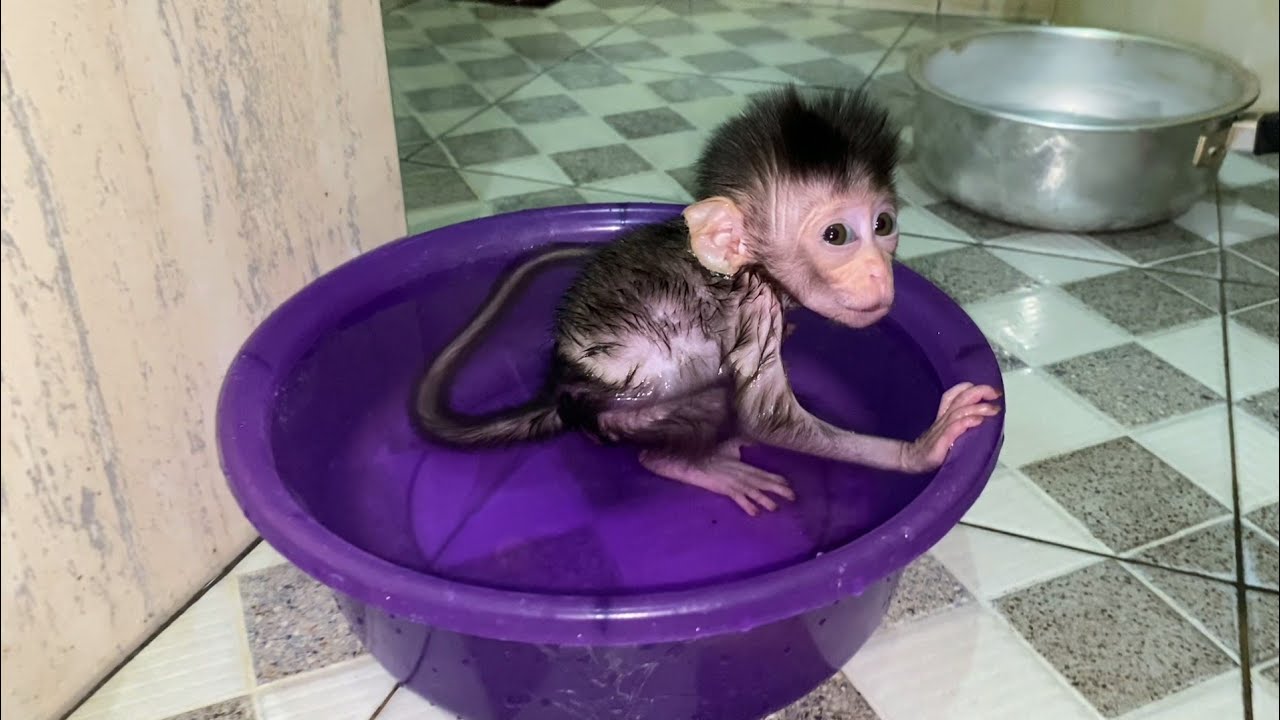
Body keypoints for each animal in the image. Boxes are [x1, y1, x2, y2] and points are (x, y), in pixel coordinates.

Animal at [412, 84, 1002, 517]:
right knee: (703, 407)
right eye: (836, 235)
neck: (747, 272)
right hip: (631, 415)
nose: (878, 273)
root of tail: (560, 389)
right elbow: (768, 421)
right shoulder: (755, 314)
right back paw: (684, 462)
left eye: (882, 225)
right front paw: (920, 450)